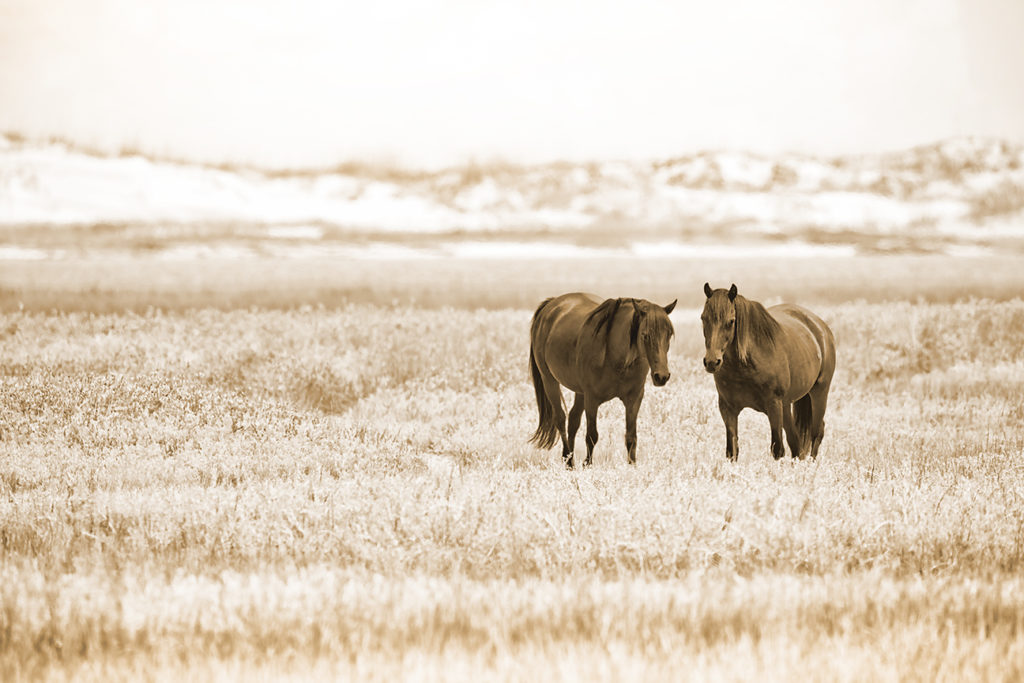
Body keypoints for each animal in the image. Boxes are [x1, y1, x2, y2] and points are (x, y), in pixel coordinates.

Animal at [529, 293, 677, 468]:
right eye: (645, 335)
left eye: (669, 334)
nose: (662, 376)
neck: (616, 357)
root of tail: (552, 304)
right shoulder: (592, 399)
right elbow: (592, 435)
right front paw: (588, 465)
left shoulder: (634, 399)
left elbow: (631, 436)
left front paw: (632, 465)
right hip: (549, 381)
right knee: (560, 419)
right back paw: (569, 461)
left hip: (580, 392)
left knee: (573, 420)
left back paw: (570, 459)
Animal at [701, 283, 836, 461]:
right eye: (703, 318)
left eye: (731, 321)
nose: (711, 362)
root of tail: (820, 327)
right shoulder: (727, 408)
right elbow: (732, 451)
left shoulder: (774, 406)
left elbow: (777, 449)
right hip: (787, 406)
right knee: (796, 442)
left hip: (818, 393)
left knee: (816, 432)